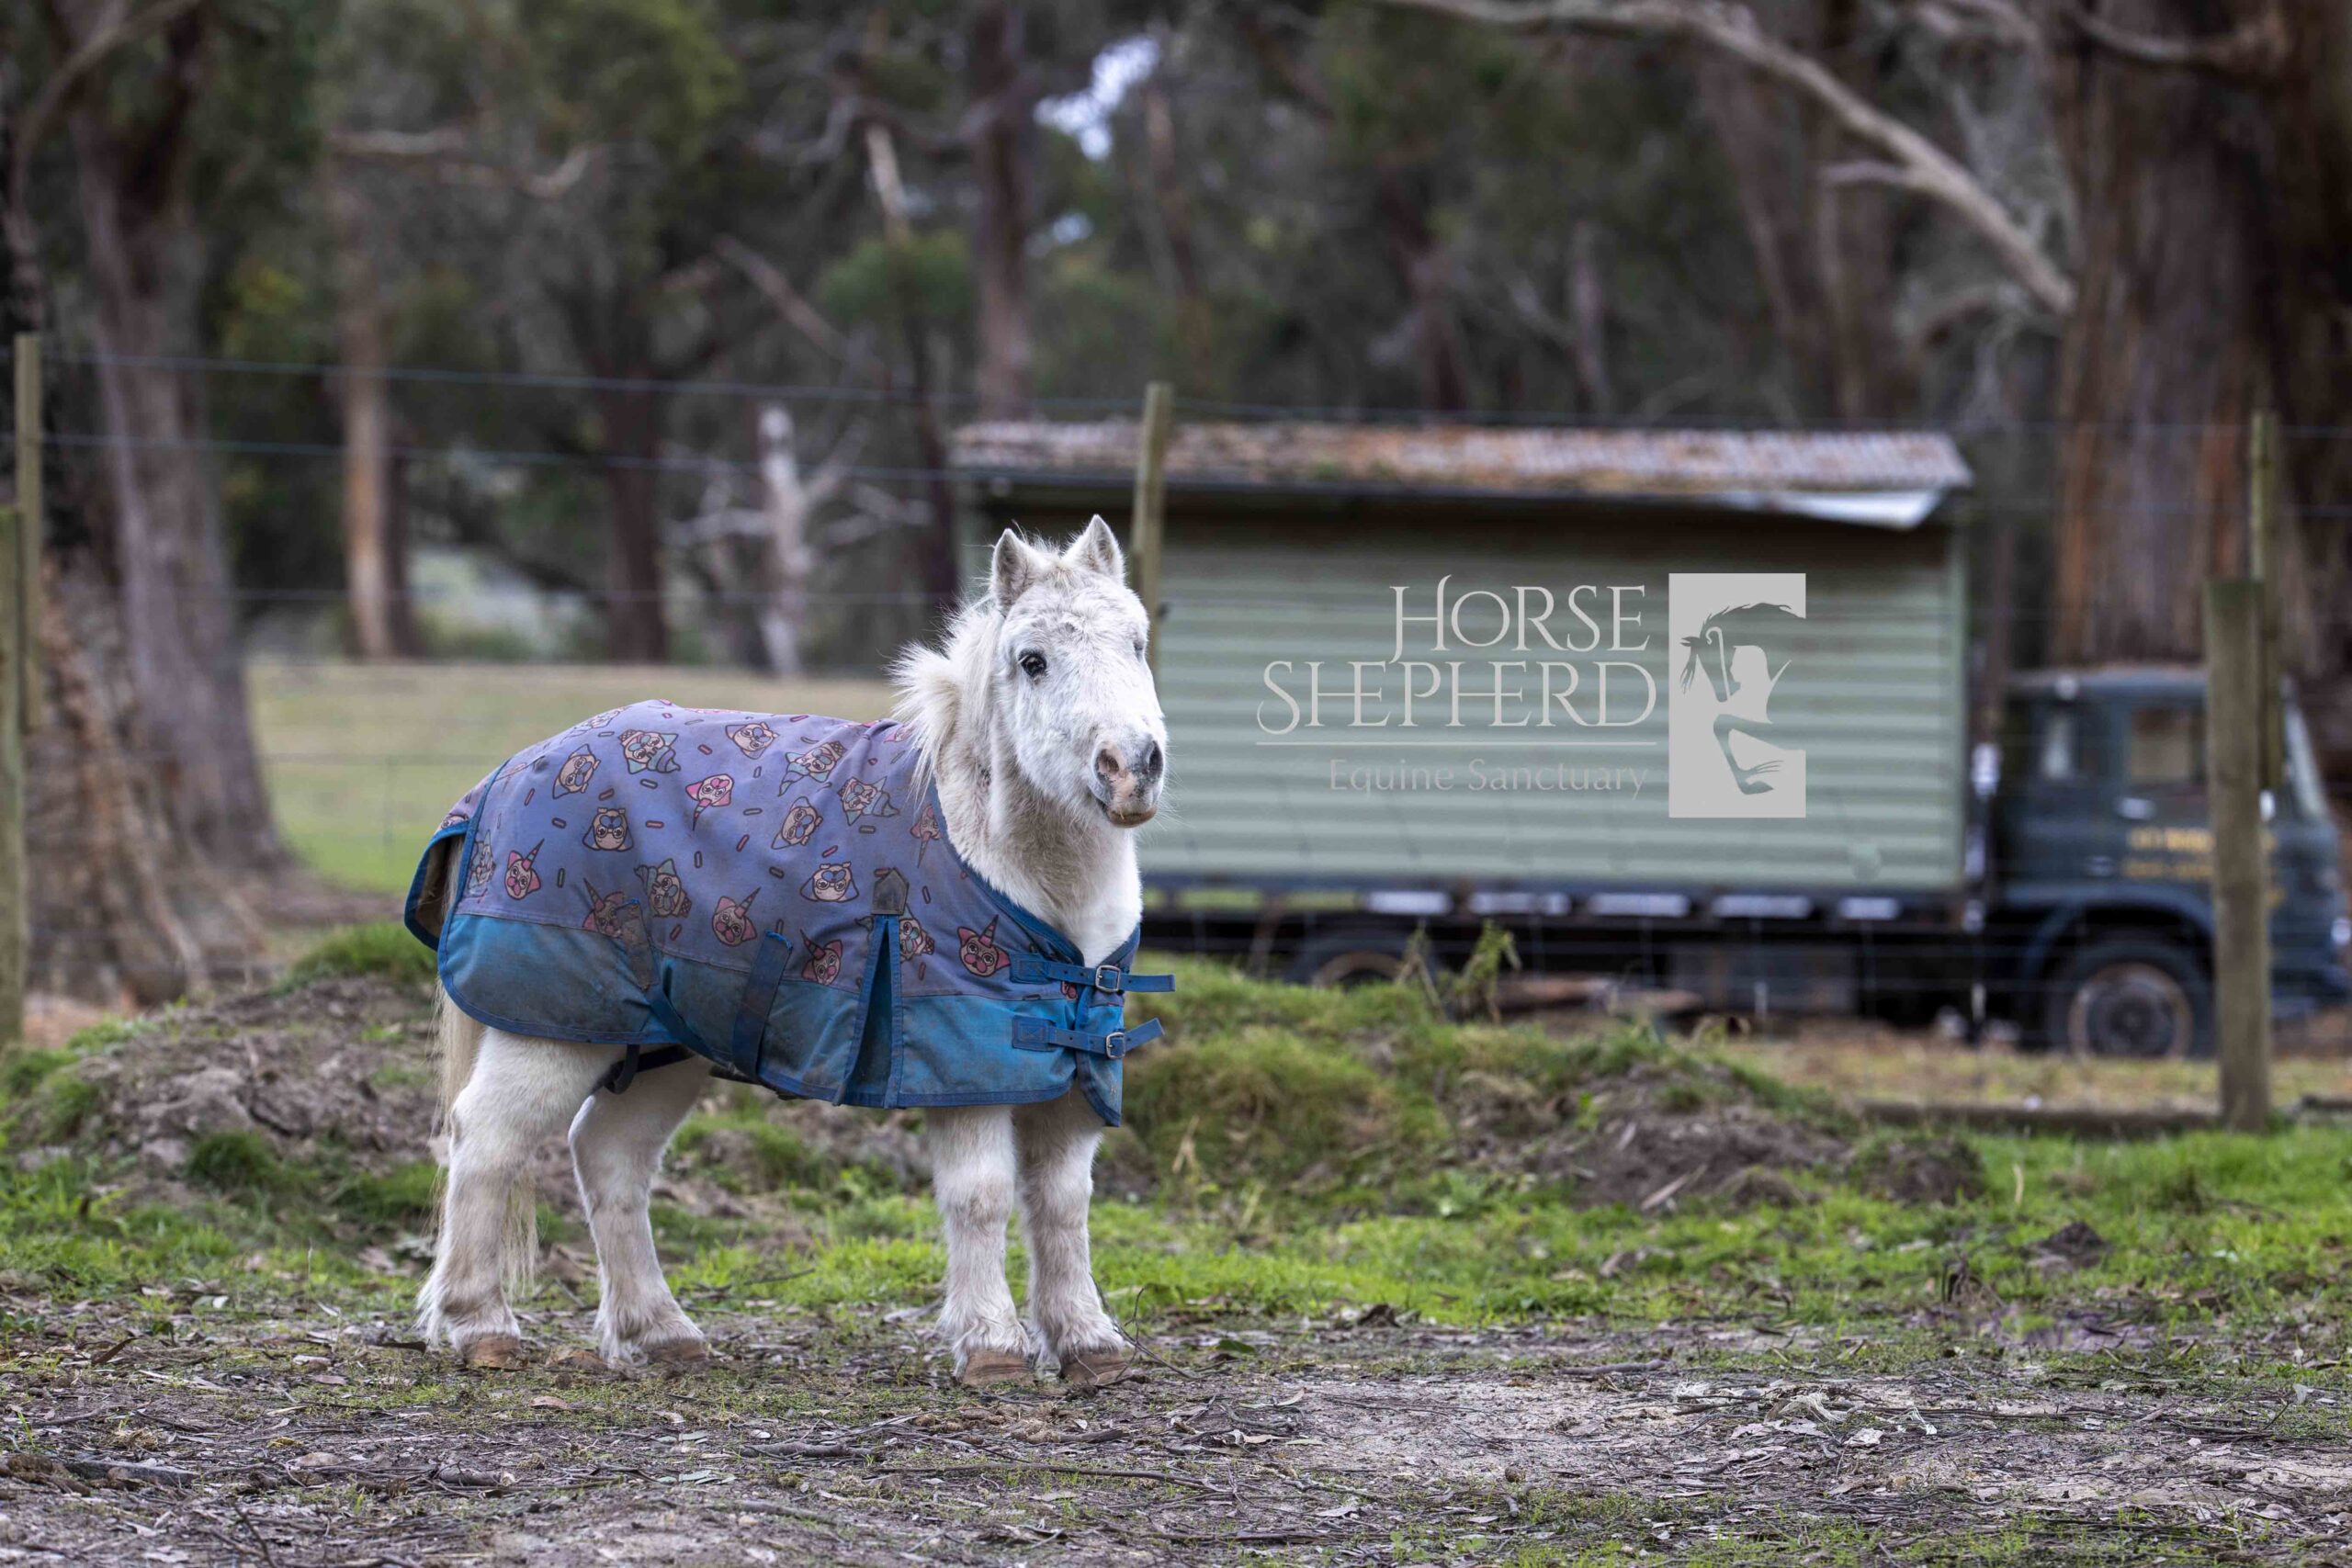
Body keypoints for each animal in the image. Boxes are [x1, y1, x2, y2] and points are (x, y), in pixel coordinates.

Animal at [410, 518, 1169, 1388]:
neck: (1017, 871)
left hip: (664, 1046)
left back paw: (660, 1331)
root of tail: (506, 774)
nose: (1130, 767)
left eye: (1137, 642)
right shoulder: (965, 1066)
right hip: (553, 1032)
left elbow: (1064, 1202)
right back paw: (479, 1325)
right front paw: (991, 1345)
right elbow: (980, 1196)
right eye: (1032, 659)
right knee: (487, 1142)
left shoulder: (1074, 1069)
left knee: (609, 1158)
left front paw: (1086, 1341)